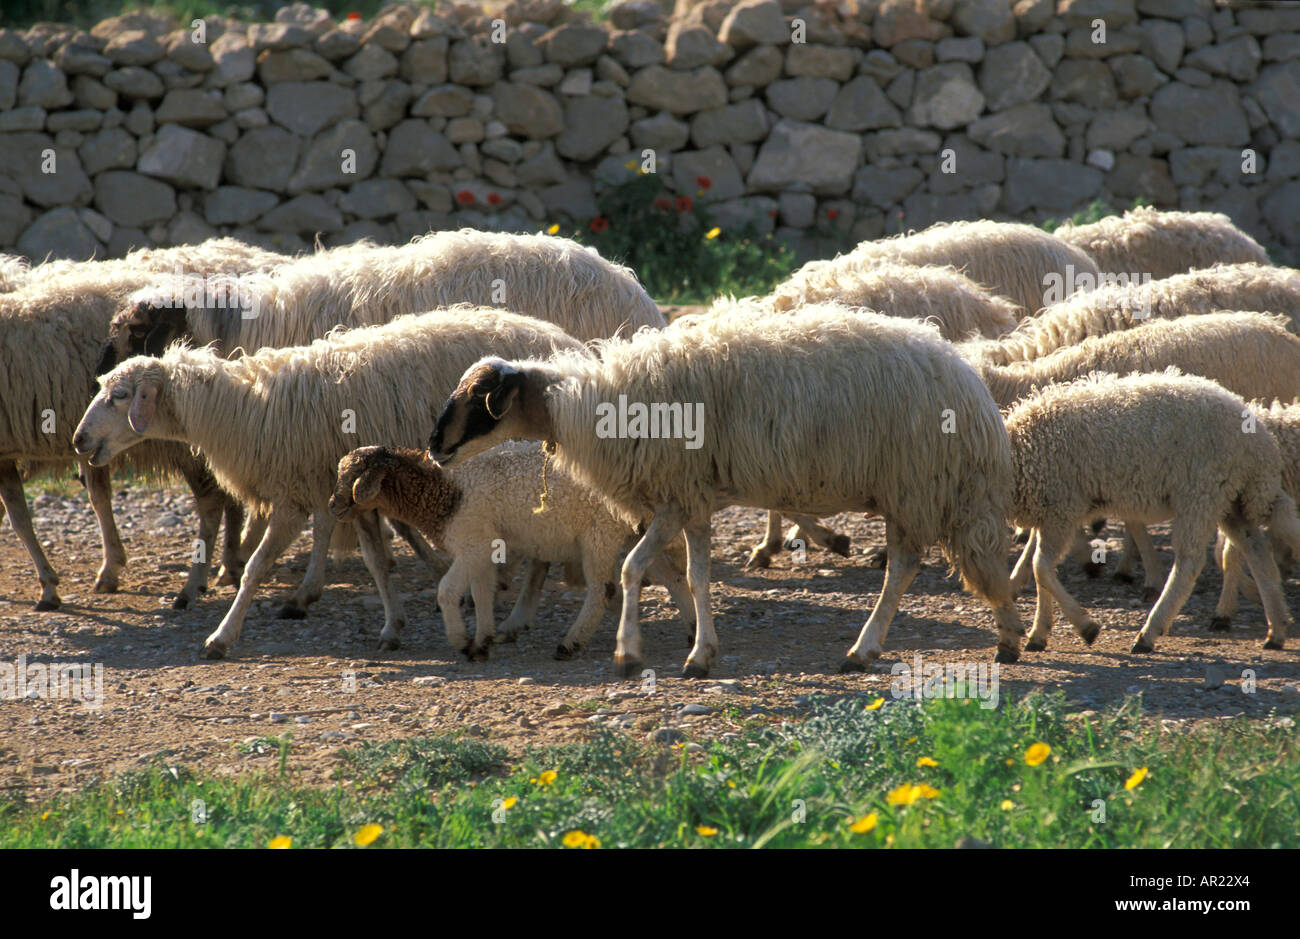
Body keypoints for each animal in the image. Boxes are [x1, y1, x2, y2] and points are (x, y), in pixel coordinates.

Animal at [0, 243, 286, 611]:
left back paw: (202, 579)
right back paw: (228, 565)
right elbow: (27, 513)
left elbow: (21, 519)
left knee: (213, 501)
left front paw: (49, 588)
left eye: (136, 333)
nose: (97, 376)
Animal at [74, 309, 589, 659]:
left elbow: (257, 566)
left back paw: (520, 612)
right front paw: (393, 626)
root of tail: (564, 340)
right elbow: (376, 562)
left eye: (120, 396)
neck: (243, 410)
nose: (79, 440)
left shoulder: (293, 498)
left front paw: (222, 635)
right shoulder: (351, 491)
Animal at [329, 442, 695, 659]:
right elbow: (481, 593)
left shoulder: (472, 542)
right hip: (634, 529)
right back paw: (693, 631)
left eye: (353, 477)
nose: (333, 506)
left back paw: (571, 642)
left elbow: (447, 591)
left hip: (599, 533)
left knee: (602, 589)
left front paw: (461, 641)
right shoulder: (483, 548)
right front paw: (482, 640)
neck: (442, 488)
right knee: (672, 578)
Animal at [429, 302, 1027, 678]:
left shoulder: (677, 494)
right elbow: (680, 575)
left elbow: (639, 570)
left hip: (919, 483)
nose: (433, 447)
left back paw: (963, 639)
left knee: (912, 565)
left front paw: (632, 654)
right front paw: (698, 654)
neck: (595, 405)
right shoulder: (685, 498)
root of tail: (968, 382)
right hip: (916, 489)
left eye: (478, 398)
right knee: (923, 562)